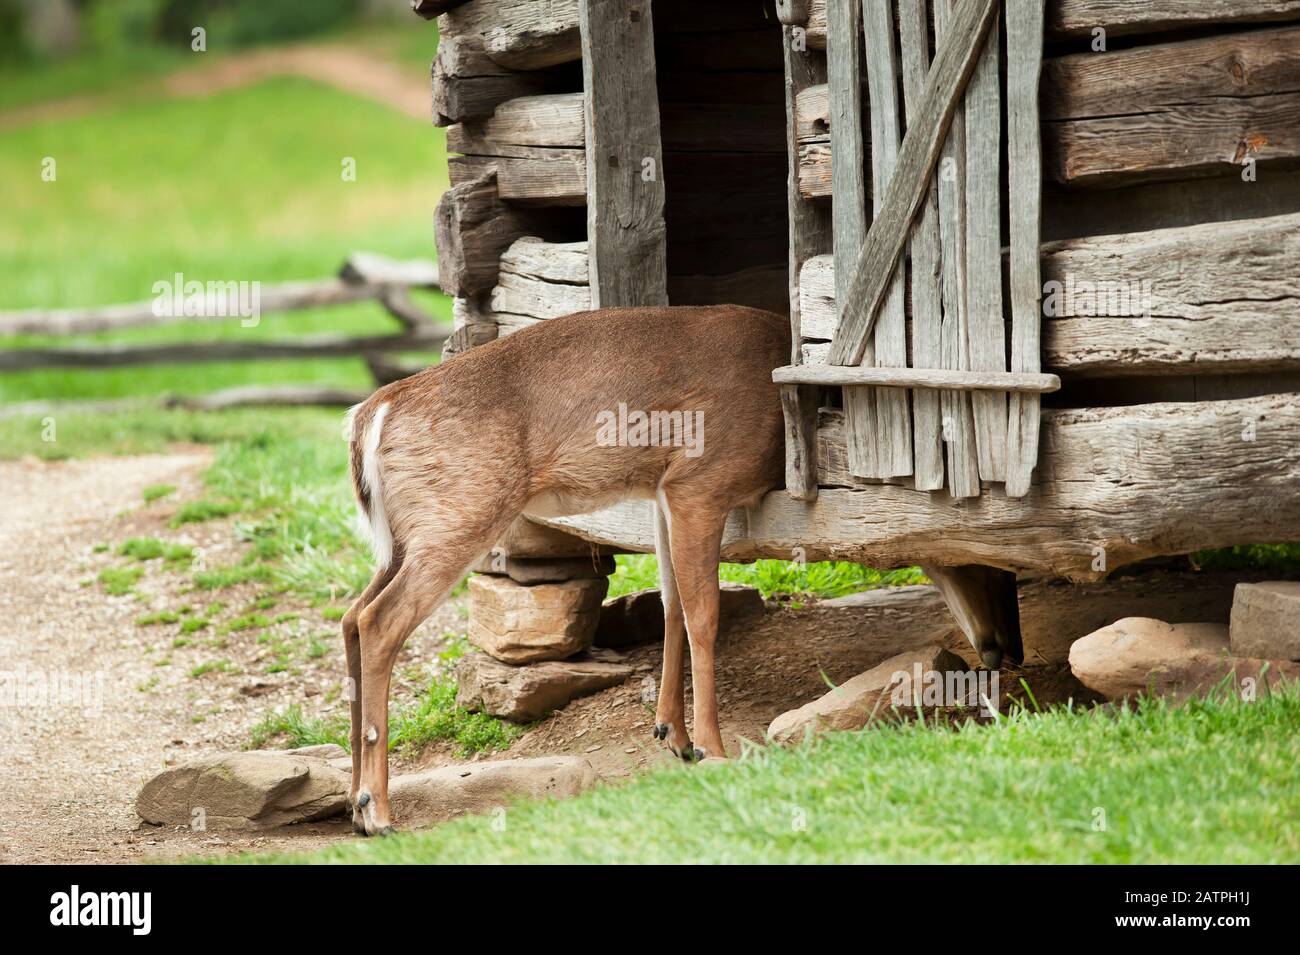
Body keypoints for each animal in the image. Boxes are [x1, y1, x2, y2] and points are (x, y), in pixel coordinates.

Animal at [341, 304, 1022, 836]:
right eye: (975, 554)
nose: (1004, 648)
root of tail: (372, 412)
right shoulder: (700, 481)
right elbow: (703, 612)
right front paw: (714, 747)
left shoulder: (663, 492)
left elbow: (670, 602)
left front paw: (674, 733)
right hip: (458, 514)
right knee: (379, 622)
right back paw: (380, 811)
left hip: (405, 537)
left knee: (351, 616)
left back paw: (354, 802)